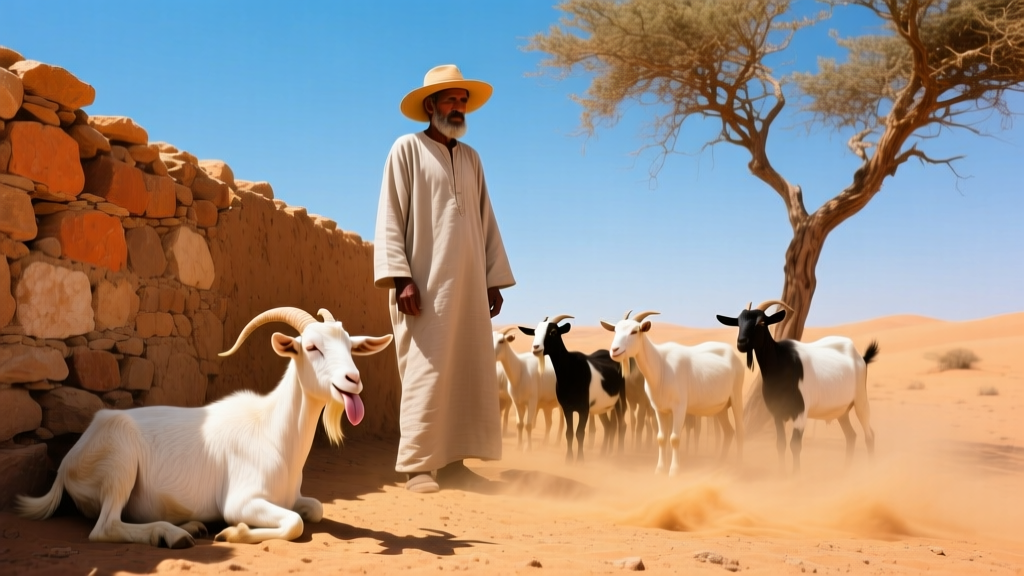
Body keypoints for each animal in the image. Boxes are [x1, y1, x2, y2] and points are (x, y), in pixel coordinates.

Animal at [16, 307, 393, 548]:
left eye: (351, 346)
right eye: (312, 347)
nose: (353, 380)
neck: (274, 433)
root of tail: (68, 463)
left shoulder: (294, 498)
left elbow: (313, 510)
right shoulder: (241, 500)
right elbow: (294, 523)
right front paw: (233, 533)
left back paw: (190, 525)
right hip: (119, 463)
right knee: (105, 527)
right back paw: (172, 535)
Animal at [519, 315, 626, 464]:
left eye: (553, 332)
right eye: (535, 332)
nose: (536, 348)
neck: (571, 370)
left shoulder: (584, 409)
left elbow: (580, 433)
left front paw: (580, 460)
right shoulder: (567, 408)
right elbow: (569, 433)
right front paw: (569, 459)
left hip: (619, 399)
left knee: (621, 425)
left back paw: (620, 455)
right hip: (602, 406)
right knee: (609, 426)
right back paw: (603, 454)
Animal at [604, 310, 745, 475]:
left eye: (634, 331)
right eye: (615, 330)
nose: (614, 350)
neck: (661, 365)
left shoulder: (679, 408)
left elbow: (675, 438)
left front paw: (674, 470)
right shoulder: (659, 409)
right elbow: (661, 438)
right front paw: (659, 469)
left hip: (736, 397)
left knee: (740, 431)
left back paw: (739, 465)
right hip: (720, 408)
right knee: (729, 432)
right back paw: (719, 464)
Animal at [716, 300, 878, 473]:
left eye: (761, 322)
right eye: (738, 322)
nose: (742, 343)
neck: (780, 365)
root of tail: (861, 358)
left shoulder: (800, 412)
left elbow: (795, 445)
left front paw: (796, 475)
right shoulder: (777, 414)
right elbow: (780, 444)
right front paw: (782, 473)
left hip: (861, 400)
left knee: (869, 435)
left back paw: (870, 469)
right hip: (841, 410)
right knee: (851, 436)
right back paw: (846, 470)